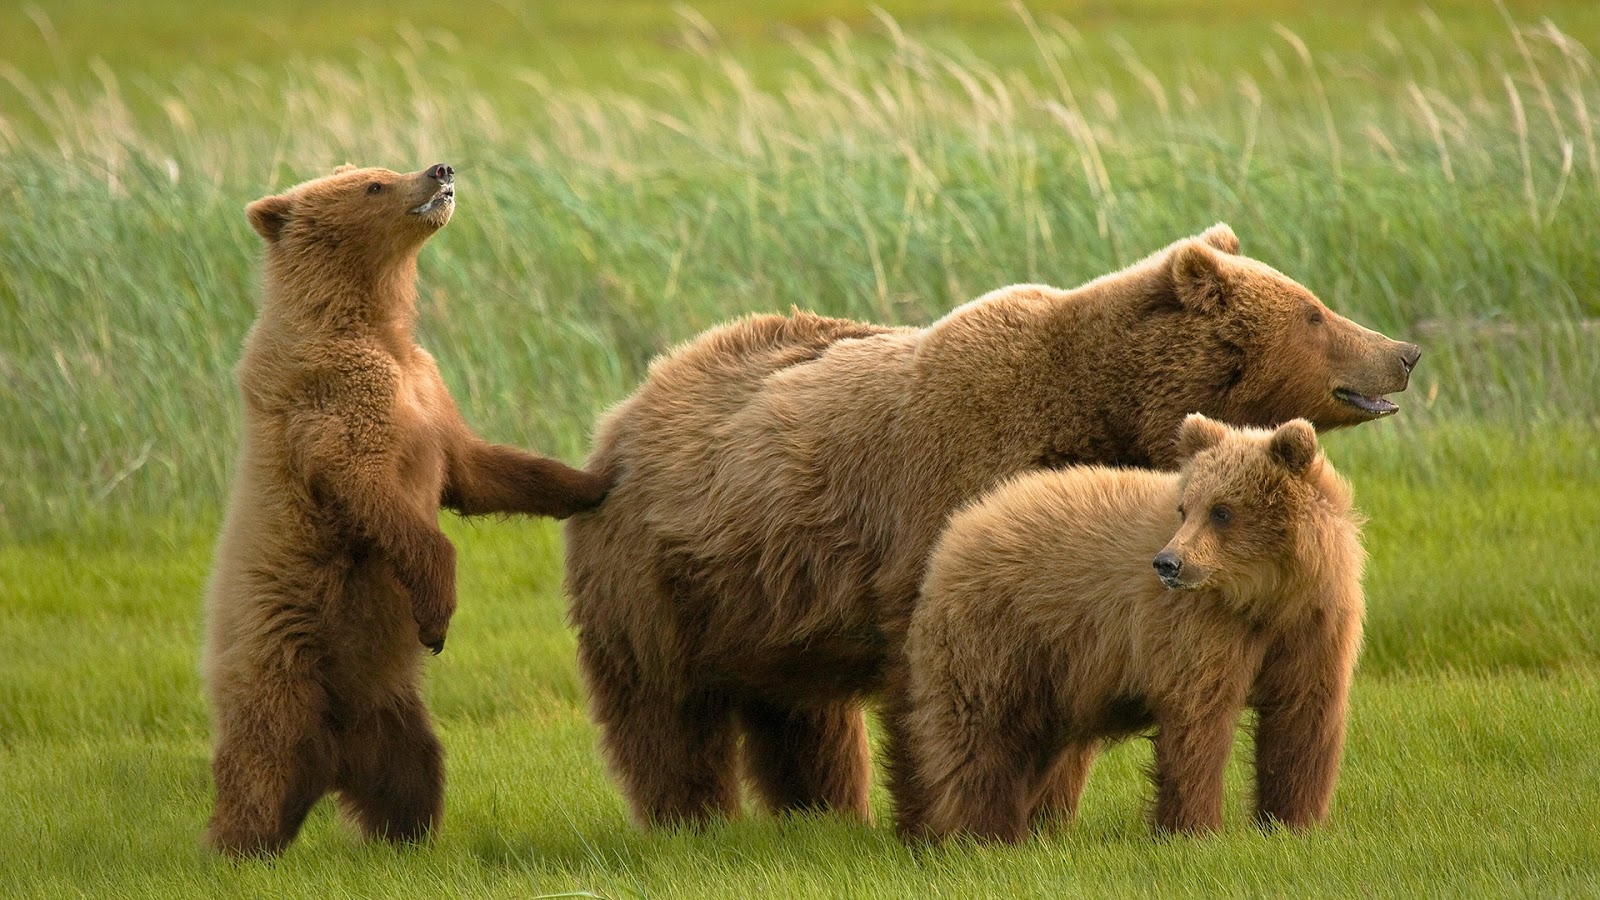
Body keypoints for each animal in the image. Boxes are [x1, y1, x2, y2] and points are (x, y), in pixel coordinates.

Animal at [203, 163, 610, 857]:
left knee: (413, 769)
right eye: (373, 184)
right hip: (282, 666)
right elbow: (375, 492)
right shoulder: (338, 399)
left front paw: (596, 481)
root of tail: (330, 763)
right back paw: (234, 847)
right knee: (260, 765)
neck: (373, 324)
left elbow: (478, 471)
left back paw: (406, 838)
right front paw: (438, 613)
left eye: (384, 169)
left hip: (389, 708)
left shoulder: (427, 388)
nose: (440, 169)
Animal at [898, 415, 1365, 844]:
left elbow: (1302, 718)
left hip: (1056, 673)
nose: (1168, 563)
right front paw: (1195, 829)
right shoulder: (1200, 627)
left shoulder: (1315, 623)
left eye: (1222, 511)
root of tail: (960, 526)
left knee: (1042, 746)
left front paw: (1293, 823)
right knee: (983, 735)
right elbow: (1199, 720)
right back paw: (986, 833)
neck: (1267, 597)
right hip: (998, 636)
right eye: (1185, 508)